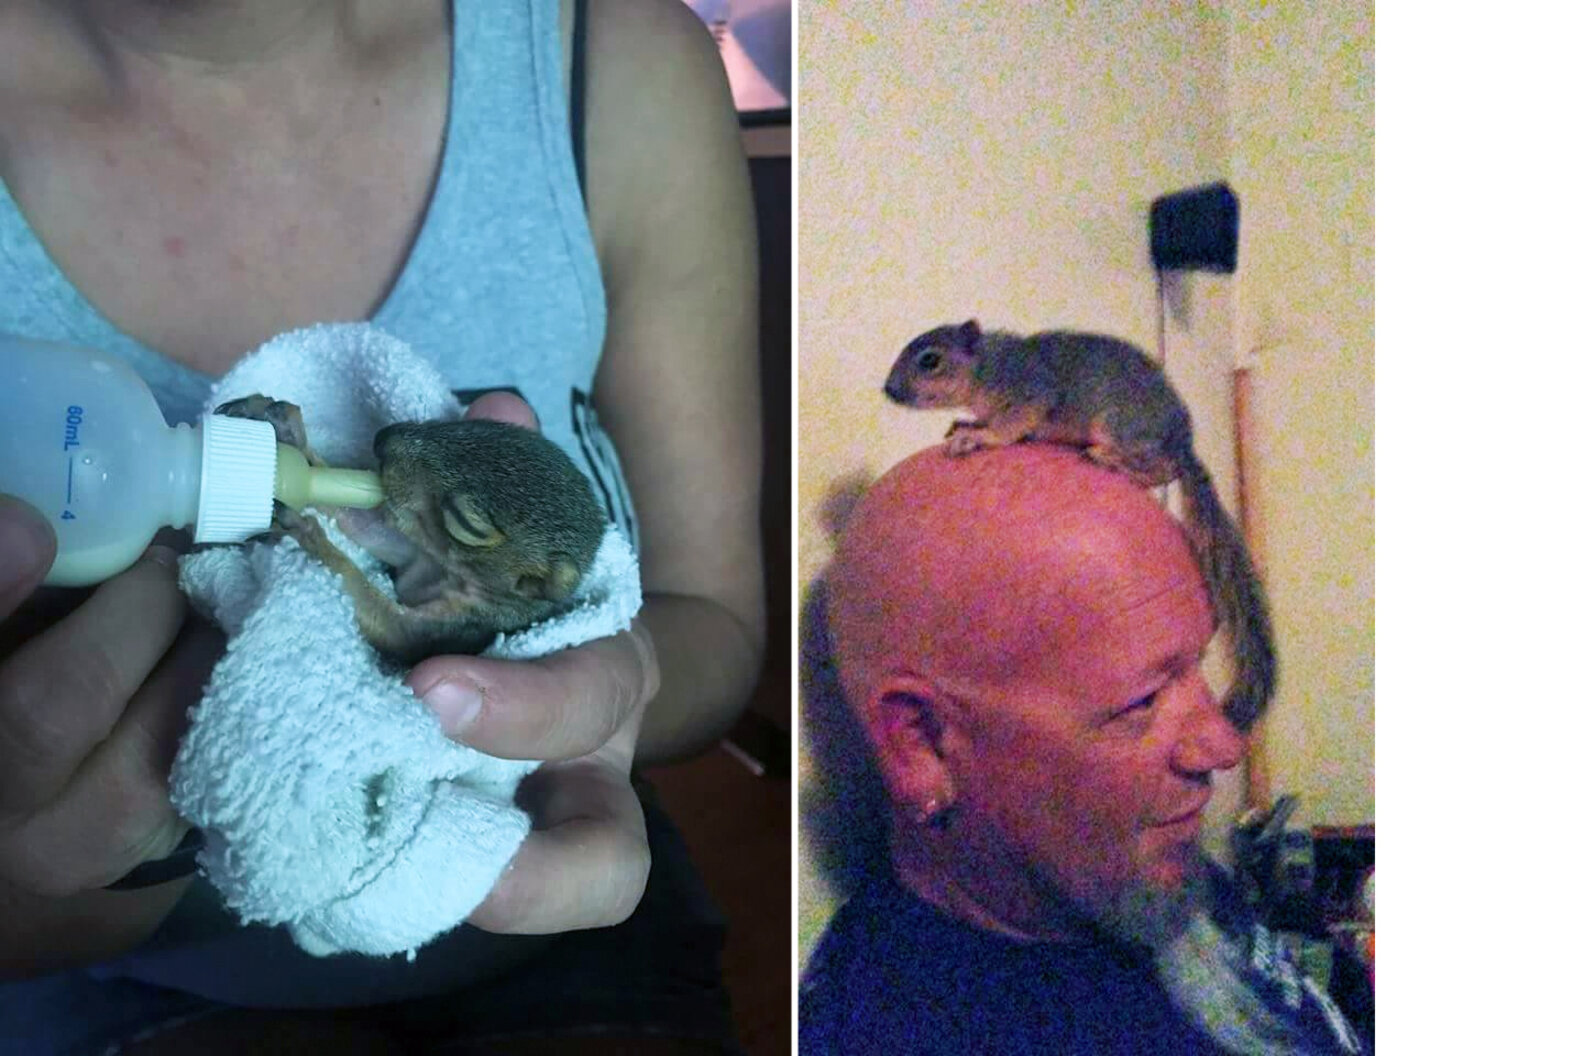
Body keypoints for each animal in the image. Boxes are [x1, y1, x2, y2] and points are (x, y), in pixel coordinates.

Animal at [214, 395, 607, 666]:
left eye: (466, 523)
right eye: (481, 427)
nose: (382, 439)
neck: (451, 573)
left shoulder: (465, 627)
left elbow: (394, 628)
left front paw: (308, 532)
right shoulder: (416, 556)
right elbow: (369, 526)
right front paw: (291, 435)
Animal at [882, 319, 1276, 731]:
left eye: (930, 360)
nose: (889, 389)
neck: (986, 366)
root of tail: (1182, 444)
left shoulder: (1027, 391)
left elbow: (1010, 428)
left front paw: (977, 436)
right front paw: (965, 422)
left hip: (1119, 424)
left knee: (1161, 468)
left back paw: (1108, 459)